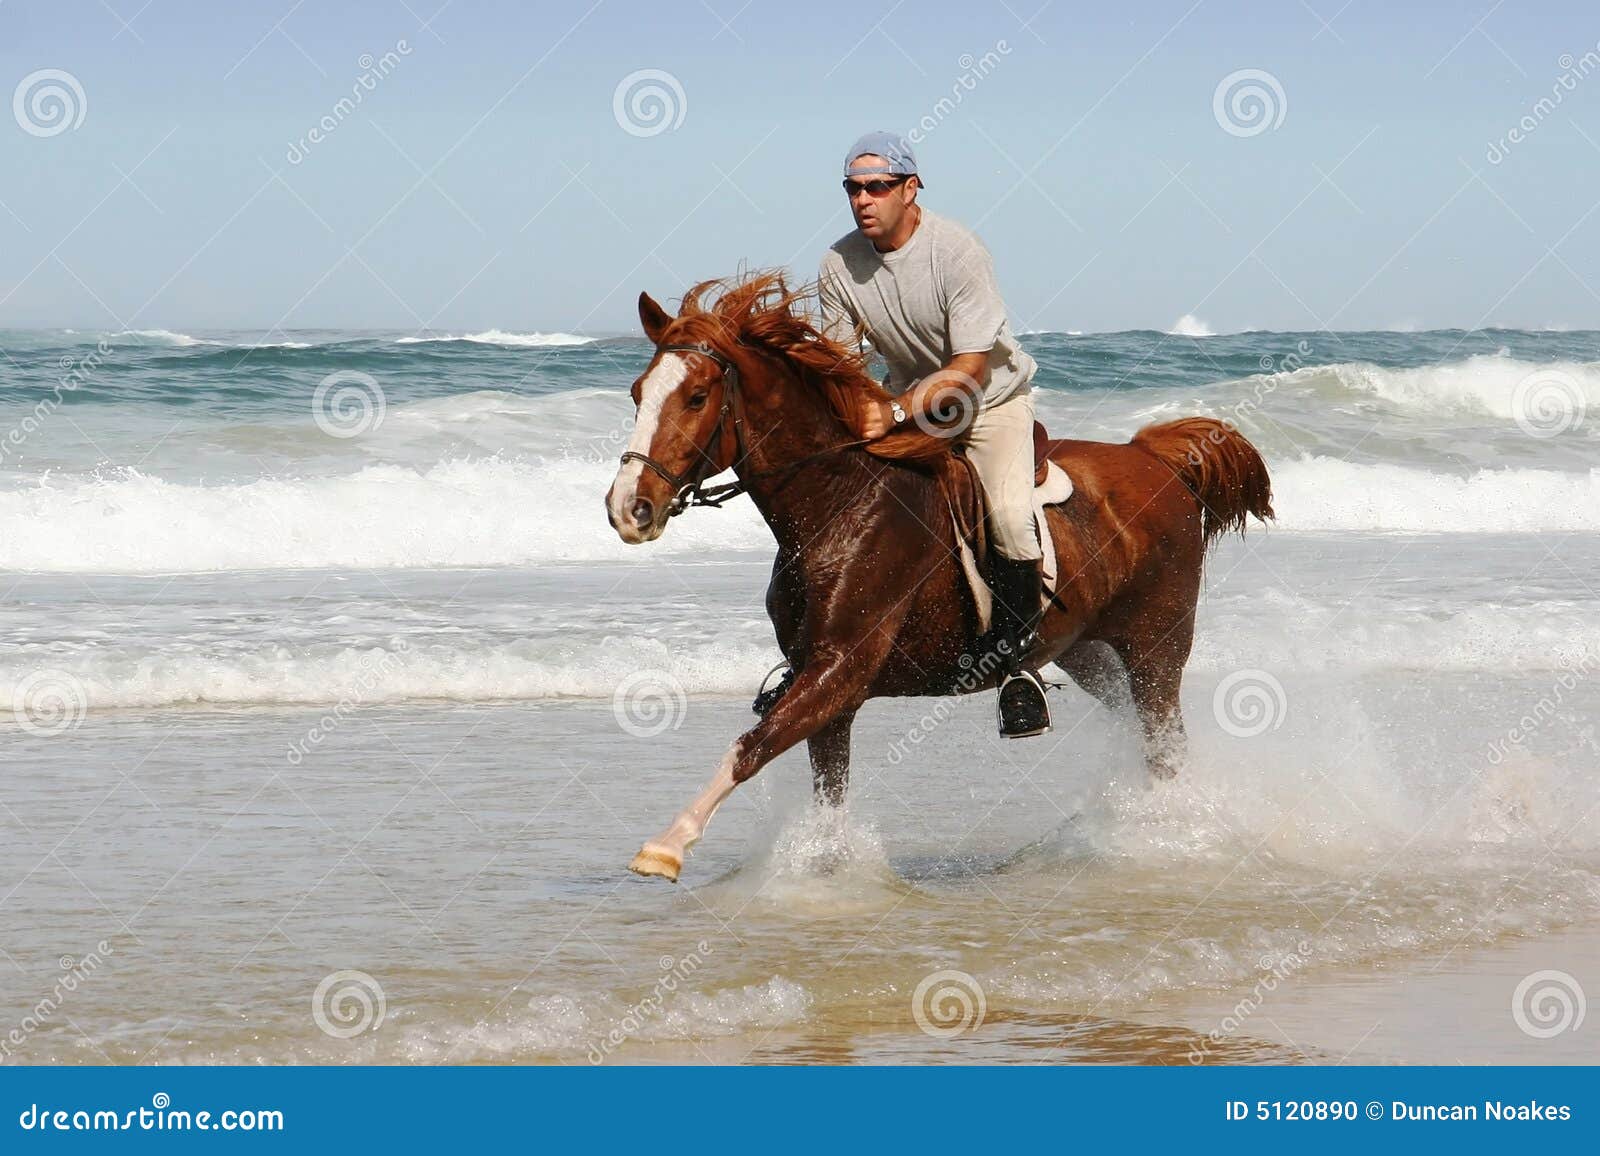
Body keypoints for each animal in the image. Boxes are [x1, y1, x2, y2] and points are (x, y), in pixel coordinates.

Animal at [604, 273, 1274, 882]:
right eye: (638, 393)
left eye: (696, 397)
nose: (628, 509)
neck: (837, 503)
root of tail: (1154, 457)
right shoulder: (825, 685)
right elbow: (826, 789)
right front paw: (826, 870)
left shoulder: (839, 671)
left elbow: (748, 750)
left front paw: (667, 846)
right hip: (1089, 653)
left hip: (1156, 647)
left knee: (1165, 745)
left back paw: (1157, 839)